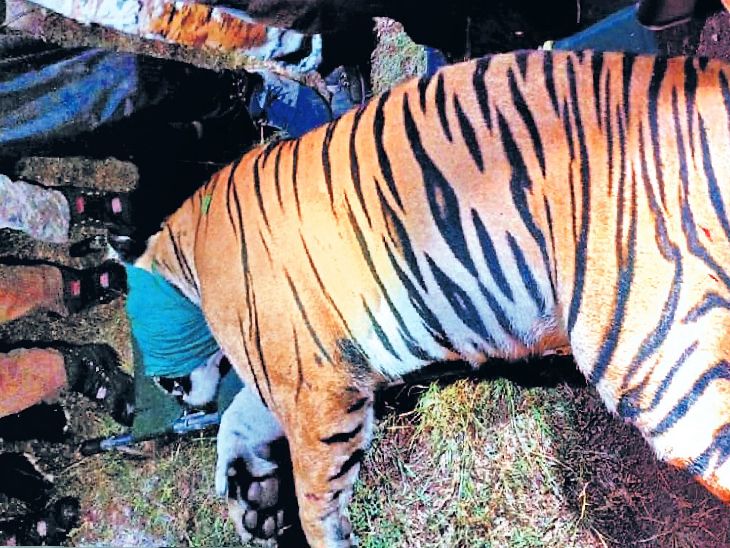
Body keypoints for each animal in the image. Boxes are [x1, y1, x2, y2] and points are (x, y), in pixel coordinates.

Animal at [135, 49, 730, 546]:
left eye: (163, 380)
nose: (180, 403)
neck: (183, 257)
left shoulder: (313, 386)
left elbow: (314, 496)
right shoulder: (311, 369)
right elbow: (239, 416)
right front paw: (249, 498)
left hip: (654, 355)